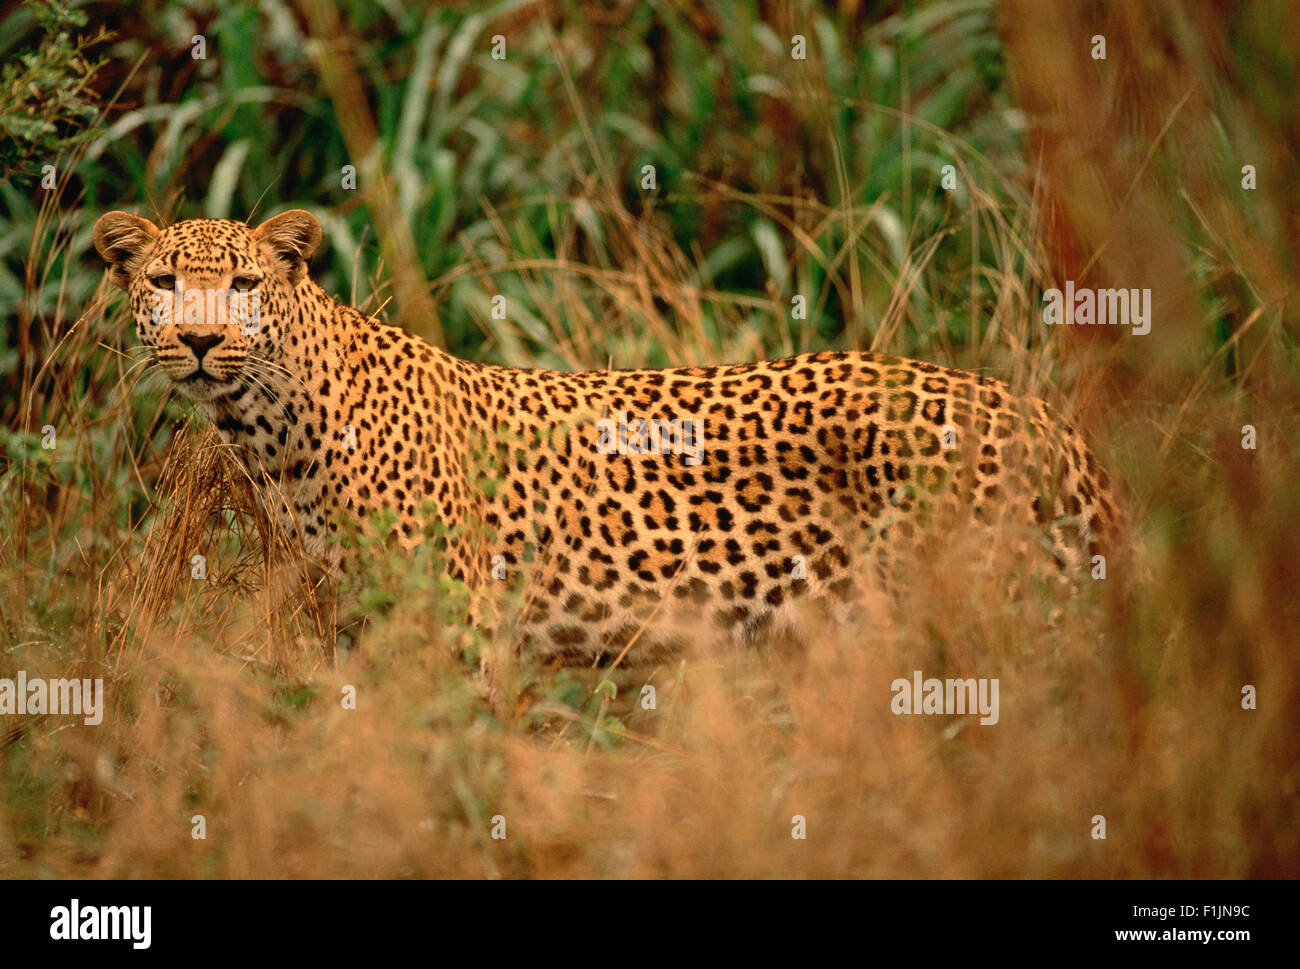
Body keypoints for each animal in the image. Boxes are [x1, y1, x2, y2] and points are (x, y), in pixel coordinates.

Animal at [93, 208, 1119, 666]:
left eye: (244, 287)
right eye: (164, 283)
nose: (199, 339)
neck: (275, 428)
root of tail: (1047, 420)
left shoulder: (456, 622)